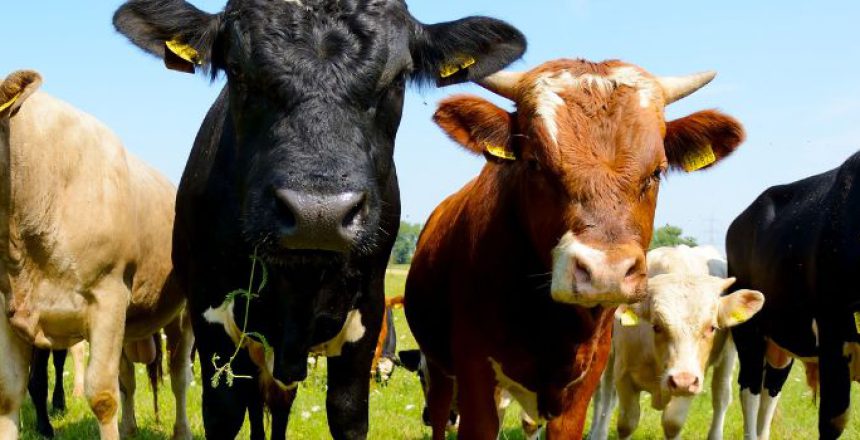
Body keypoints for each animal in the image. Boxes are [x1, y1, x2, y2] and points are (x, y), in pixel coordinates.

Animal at [0, 70, 194, 440]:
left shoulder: (109, 296)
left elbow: (103, 395)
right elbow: (9, 393)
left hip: (180, 314)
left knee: (179, 374)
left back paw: (181, 431)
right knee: (129, 379)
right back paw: (130, 428)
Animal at [112, 1, 526, 438]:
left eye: (398, 78)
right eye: (237, 71)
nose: (318, 213)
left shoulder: (367, 316)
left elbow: (346, 413)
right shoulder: (211, 316)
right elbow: (225, 411)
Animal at [403, 58, 747, 439]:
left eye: (656, 172)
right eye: (534, 162)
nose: (606, 272)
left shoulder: (585, 382)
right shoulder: (475, 376)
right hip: (437, 367)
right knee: (438, 413)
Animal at [589, 245, 764, 440]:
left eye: (712, 328)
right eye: (656, 326)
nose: (682, 381)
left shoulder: (693, 378)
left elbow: (673, 423)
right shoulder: (624, 374)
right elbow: (626, 423)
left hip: (728, 356)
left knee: (721, 397)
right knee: (605, 395)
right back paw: (597, 432)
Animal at [727, 151, 860, 440]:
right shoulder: (833, 330)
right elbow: (834, 420)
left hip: (782, 341)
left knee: (771, 390)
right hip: (748, 330)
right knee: (750, 389)